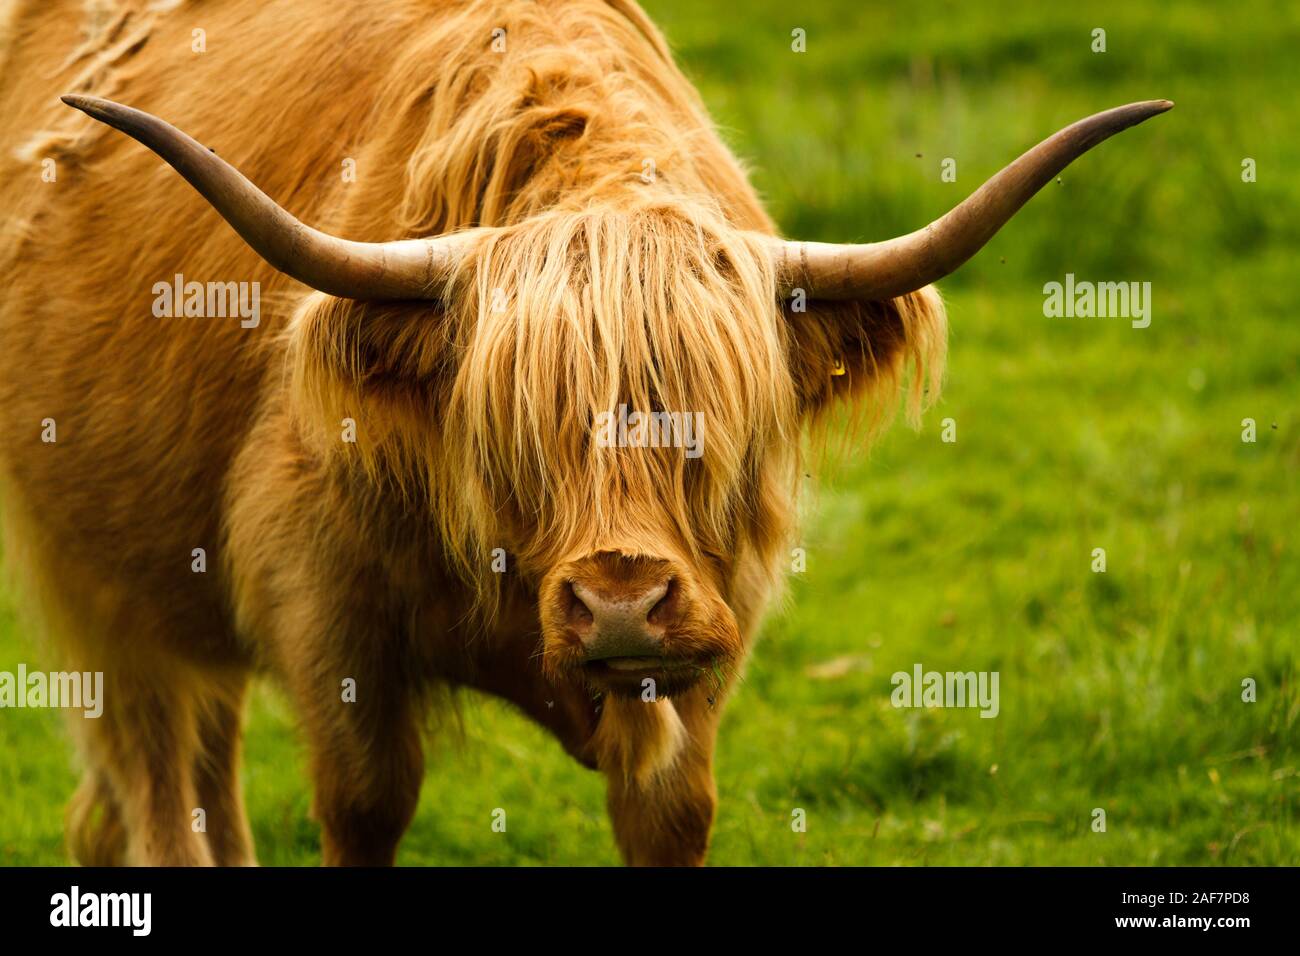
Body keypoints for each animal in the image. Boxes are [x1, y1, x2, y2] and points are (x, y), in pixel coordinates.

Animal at [0, 0, 1169, 866]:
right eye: (520, 431)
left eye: (712, 425)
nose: (619, 603)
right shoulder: (323, 605)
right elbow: (367, 802)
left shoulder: (712, 630)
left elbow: (671, 813)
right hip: (104, 582)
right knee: (161, 780)